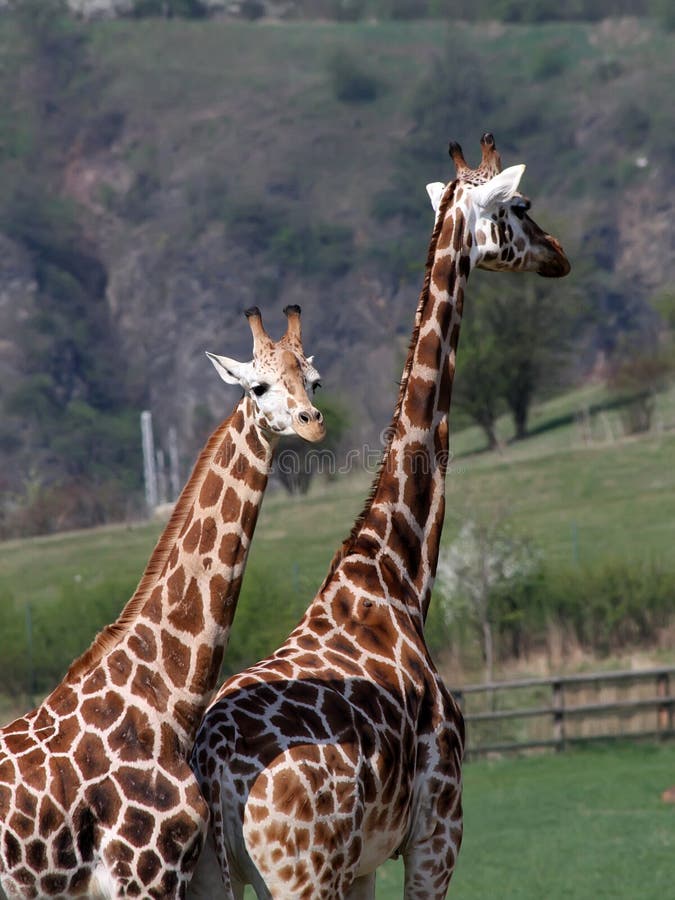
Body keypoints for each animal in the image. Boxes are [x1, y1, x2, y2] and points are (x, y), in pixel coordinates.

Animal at [189, 133, 571, 900]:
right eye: (520, 205)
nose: (559, 254)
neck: (398, 571)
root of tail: (216, 774)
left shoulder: (365, 859)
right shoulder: (438, 828)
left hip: (215, 877)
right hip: (301, 873)